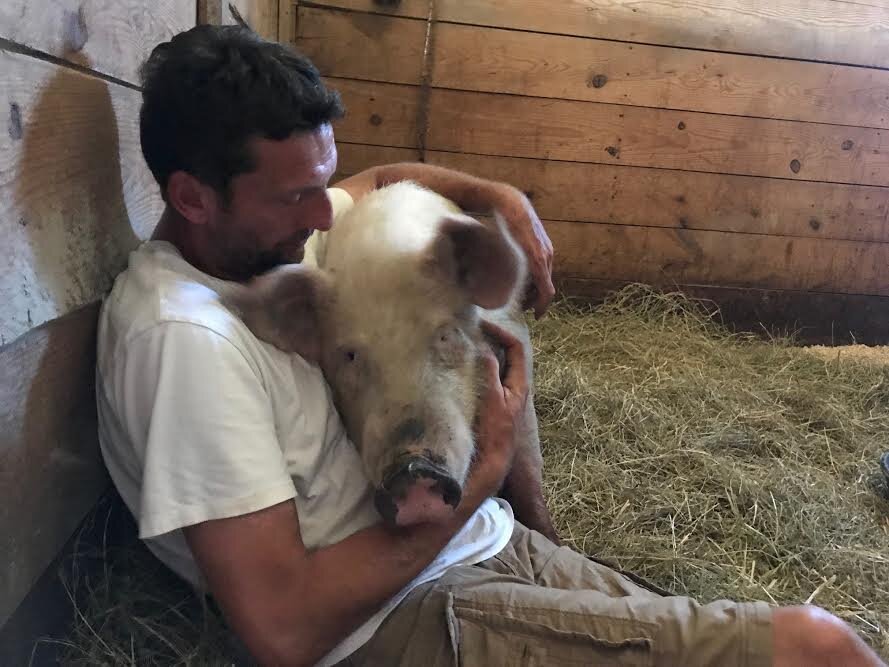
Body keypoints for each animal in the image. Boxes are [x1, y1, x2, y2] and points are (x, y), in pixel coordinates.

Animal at [226, 181, 558, 542]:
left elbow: (528, 467)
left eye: (446, 334)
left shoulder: (518, 356)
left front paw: (549, 534)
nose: (413, 470)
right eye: (350, 355)